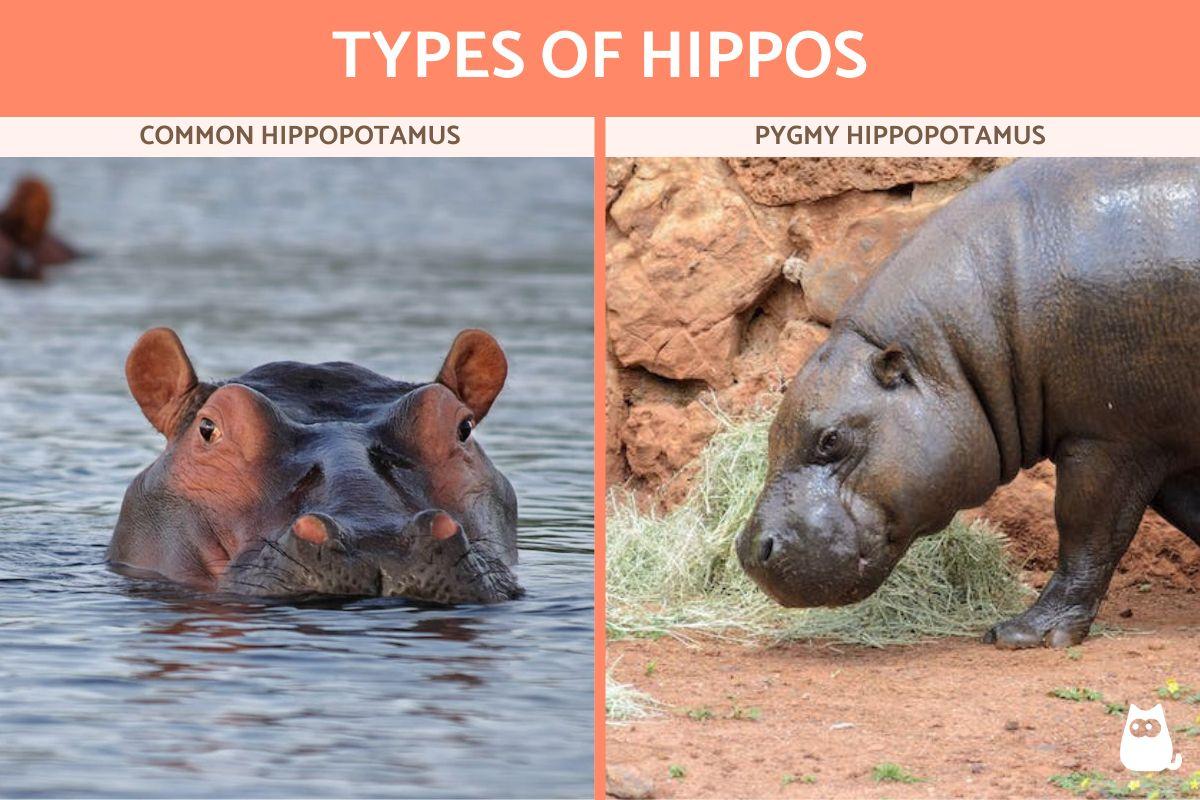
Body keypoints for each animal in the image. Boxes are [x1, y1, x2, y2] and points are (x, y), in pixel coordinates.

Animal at [737, 158, 1200, 648]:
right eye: (772, 435)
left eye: (830, 439)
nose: (748, 550)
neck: (952, 355)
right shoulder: (1163, 445)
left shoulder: (1105, 440)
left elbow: (1086, 532)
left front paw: (1022, 634)